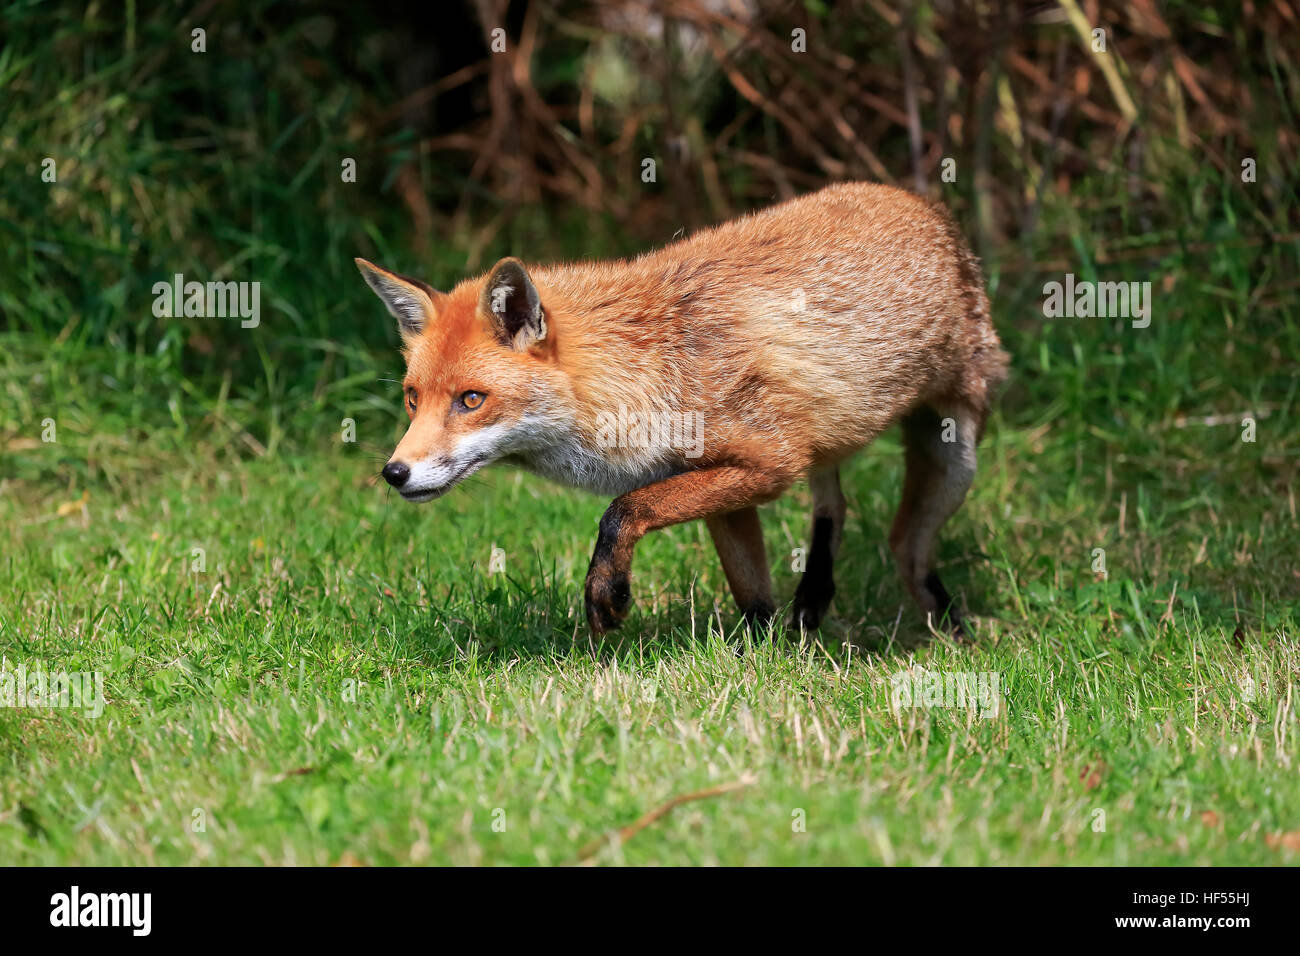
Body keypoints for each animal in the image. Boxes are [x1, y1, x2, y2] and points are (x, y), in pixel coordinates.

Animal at [356, 182, 1008, 637]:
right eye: (412, 399)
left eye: (471, 400)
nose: (395, 473)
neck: (645, 371)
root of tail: (920, 202)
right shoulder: (726, 483)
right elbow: (753, 598)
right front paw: (769, 660)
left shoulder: (766, 465)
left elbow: (623, 509)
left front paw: (608, 590)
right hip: (831, 436)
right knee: (836, 506)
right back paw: (815, 605)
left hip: (954, 455)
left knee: (906, 546)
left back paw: (953, 636)